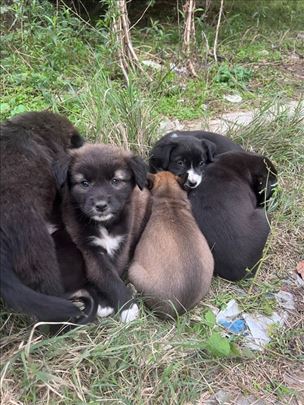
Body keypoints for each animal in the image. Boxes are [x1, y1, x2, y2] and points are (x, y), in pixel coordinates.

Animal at [61, 142, 151, 322]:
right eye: (84, 183)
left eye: (115, 181)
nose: (101, 205)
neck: (104, 224)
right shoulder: (89, 249)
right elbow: (105, 275)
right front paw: (112, 303)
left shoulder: (121, 244)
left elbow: (113, 271)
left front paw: (125, 306)